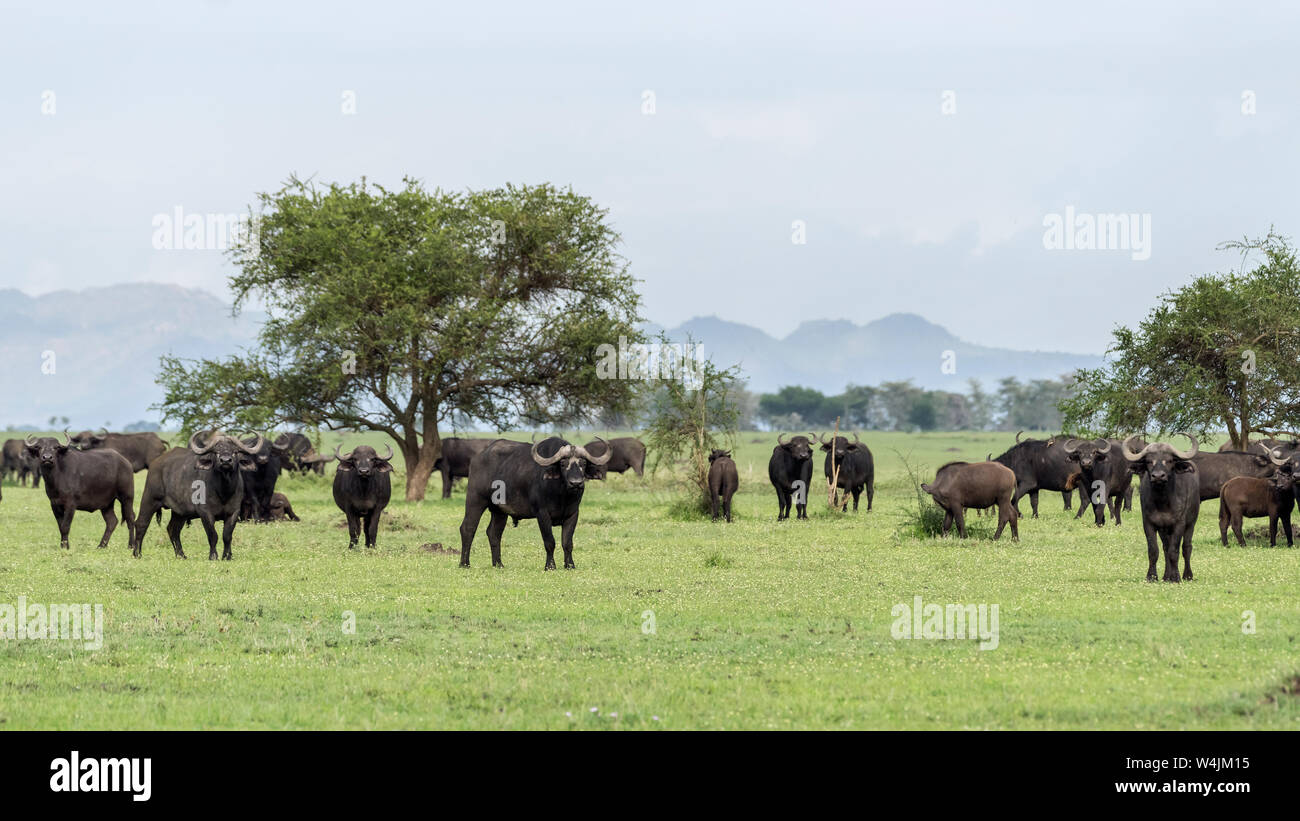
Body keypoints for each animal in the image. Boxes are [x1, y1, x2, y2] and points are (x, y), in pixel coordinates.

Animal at [134, 431, 261, 560]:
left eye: (235, 451)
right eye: (216, 452)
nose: (225, 460)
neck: (223, 491)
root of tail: (155, 463)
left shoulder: (234, 512)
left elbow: (227, 536)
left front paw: (227, 556)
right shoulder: (205, 513)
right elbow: (213, 535)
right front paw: (213, 556)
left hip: (179, 512)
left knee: (173, 529)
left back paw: (181, 555)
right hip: (150, 499)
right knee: (141, 524)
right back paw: (137, 553)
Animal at [459, 436, 610, 569]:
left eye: (583, 463)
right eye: (563, 464)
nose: (576, 483)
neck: (562, 495)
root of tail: (478, 457)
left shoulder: (573, 514)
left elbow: (567, 543)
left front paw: (570, 565)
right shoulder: (542, 514)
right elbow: (549, 542)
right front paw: (550, 566)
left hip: (499, 510)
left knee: (494, 533)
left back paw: (498, 564)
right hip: (475, 499)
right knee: (468, 528)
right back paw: (465, 564)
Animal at [1122, 435, 1200, 582]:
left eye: (1169, 460)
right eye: (1149, 461)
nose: (1158, 476)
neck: (1163, 502)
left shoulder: (1179, 524)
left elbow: (1174, 551)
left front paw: (1176, 578)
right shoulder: (1149, 523)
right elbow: (1154, 550)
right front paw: (1152, 576)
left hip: (1191, 523)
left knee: (1186, 547)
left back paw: (1187, 575)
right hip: (1164, 530)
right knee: (1165, 548)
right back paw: (1166, 576)